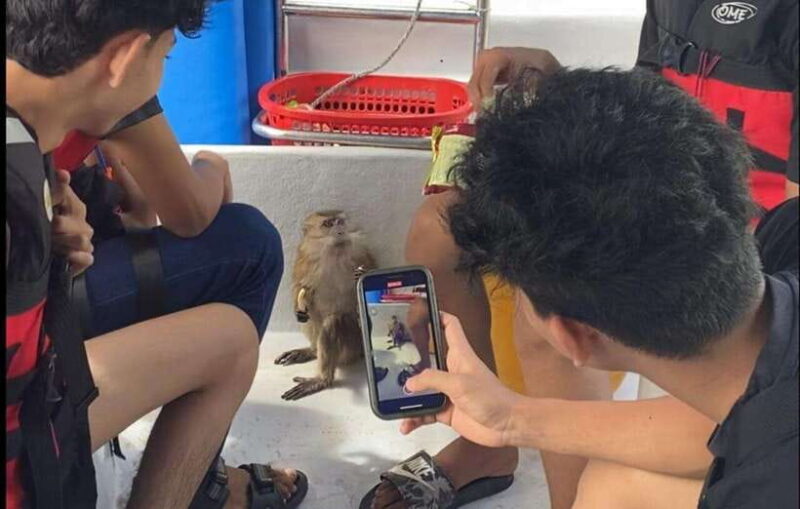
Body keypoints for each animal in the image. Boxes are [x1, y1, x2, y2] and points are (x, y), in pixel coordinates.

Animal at [275, 210, 377, 400]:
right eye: (328, 224)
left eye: (340, 222)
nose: (340, 231)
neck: (334, 252)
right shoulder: (305, 257)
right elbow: (300, 287)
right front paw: (298, 307)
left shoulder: (361, 252)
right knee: (311, 316)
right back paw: (312, 350)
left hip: (354, 346)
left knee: (334, 322)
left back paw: (322, 379)